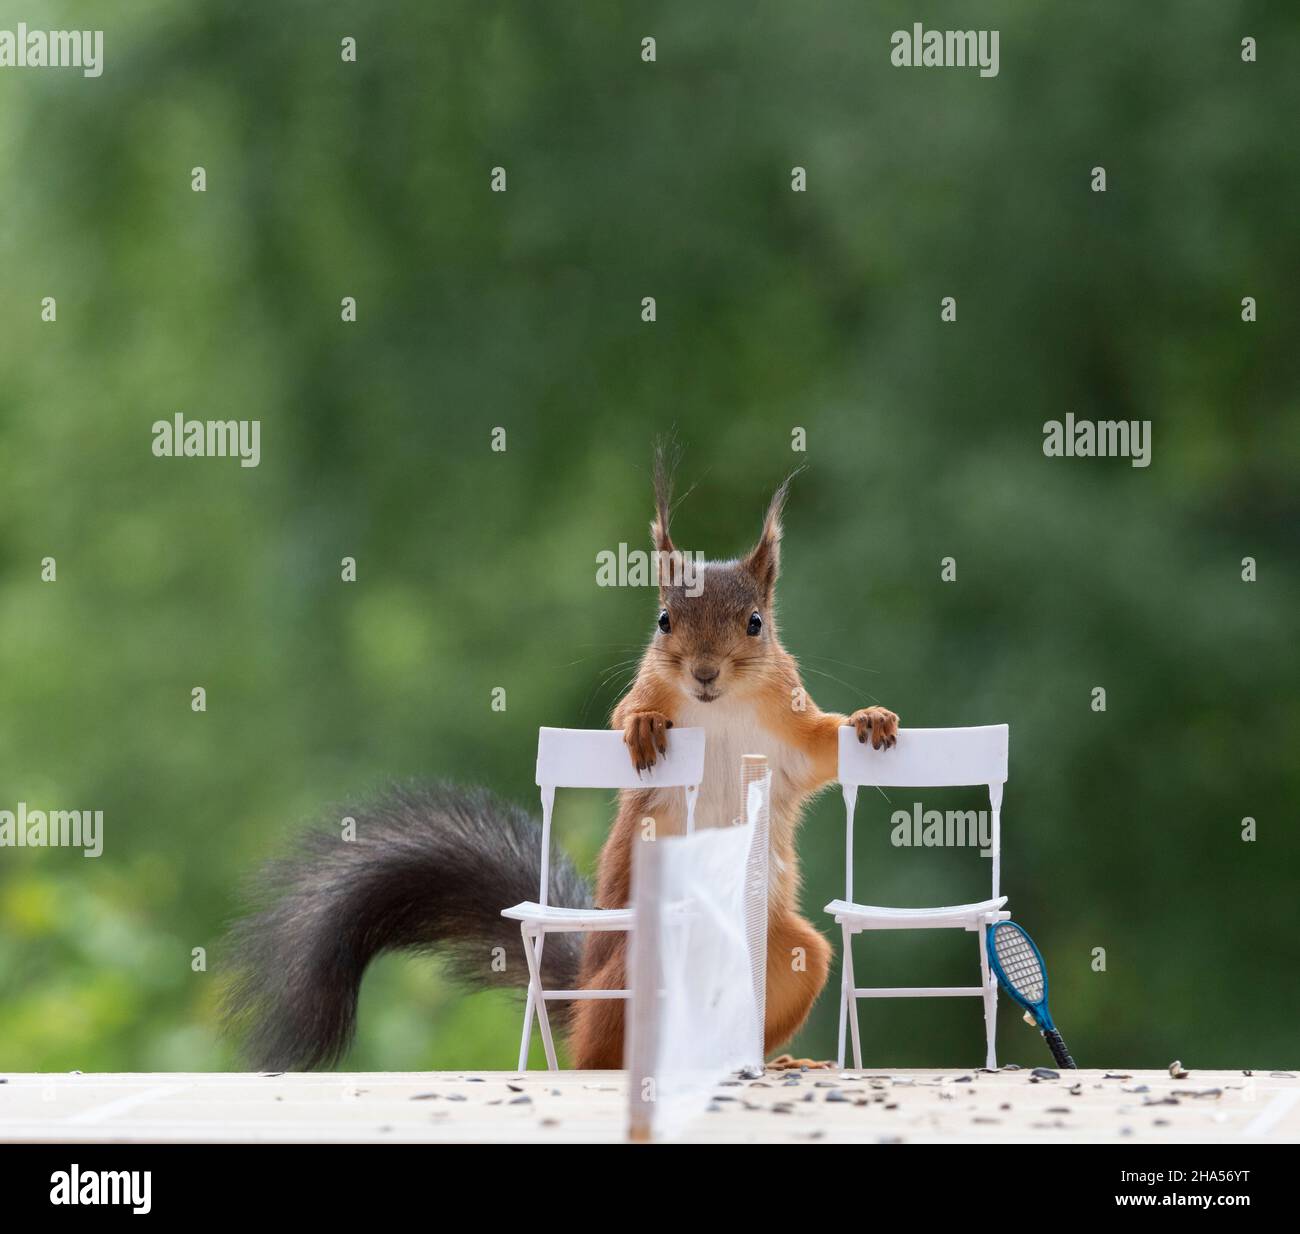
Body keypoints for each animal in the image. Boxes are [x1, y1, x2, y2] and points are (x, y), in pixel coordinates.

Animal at [222, 452, 898, 1071]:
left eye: (755, 623)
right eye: (664, 619)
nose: (704, 673)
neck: (724, 708)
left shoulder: (790, 733)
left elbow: (825, 746)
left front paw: (871, 718)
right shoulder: (648, 689)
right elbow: (624, 717)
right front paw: (645, 726)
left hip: (790, 956)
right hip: (634, 965)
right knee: (595, 1052)